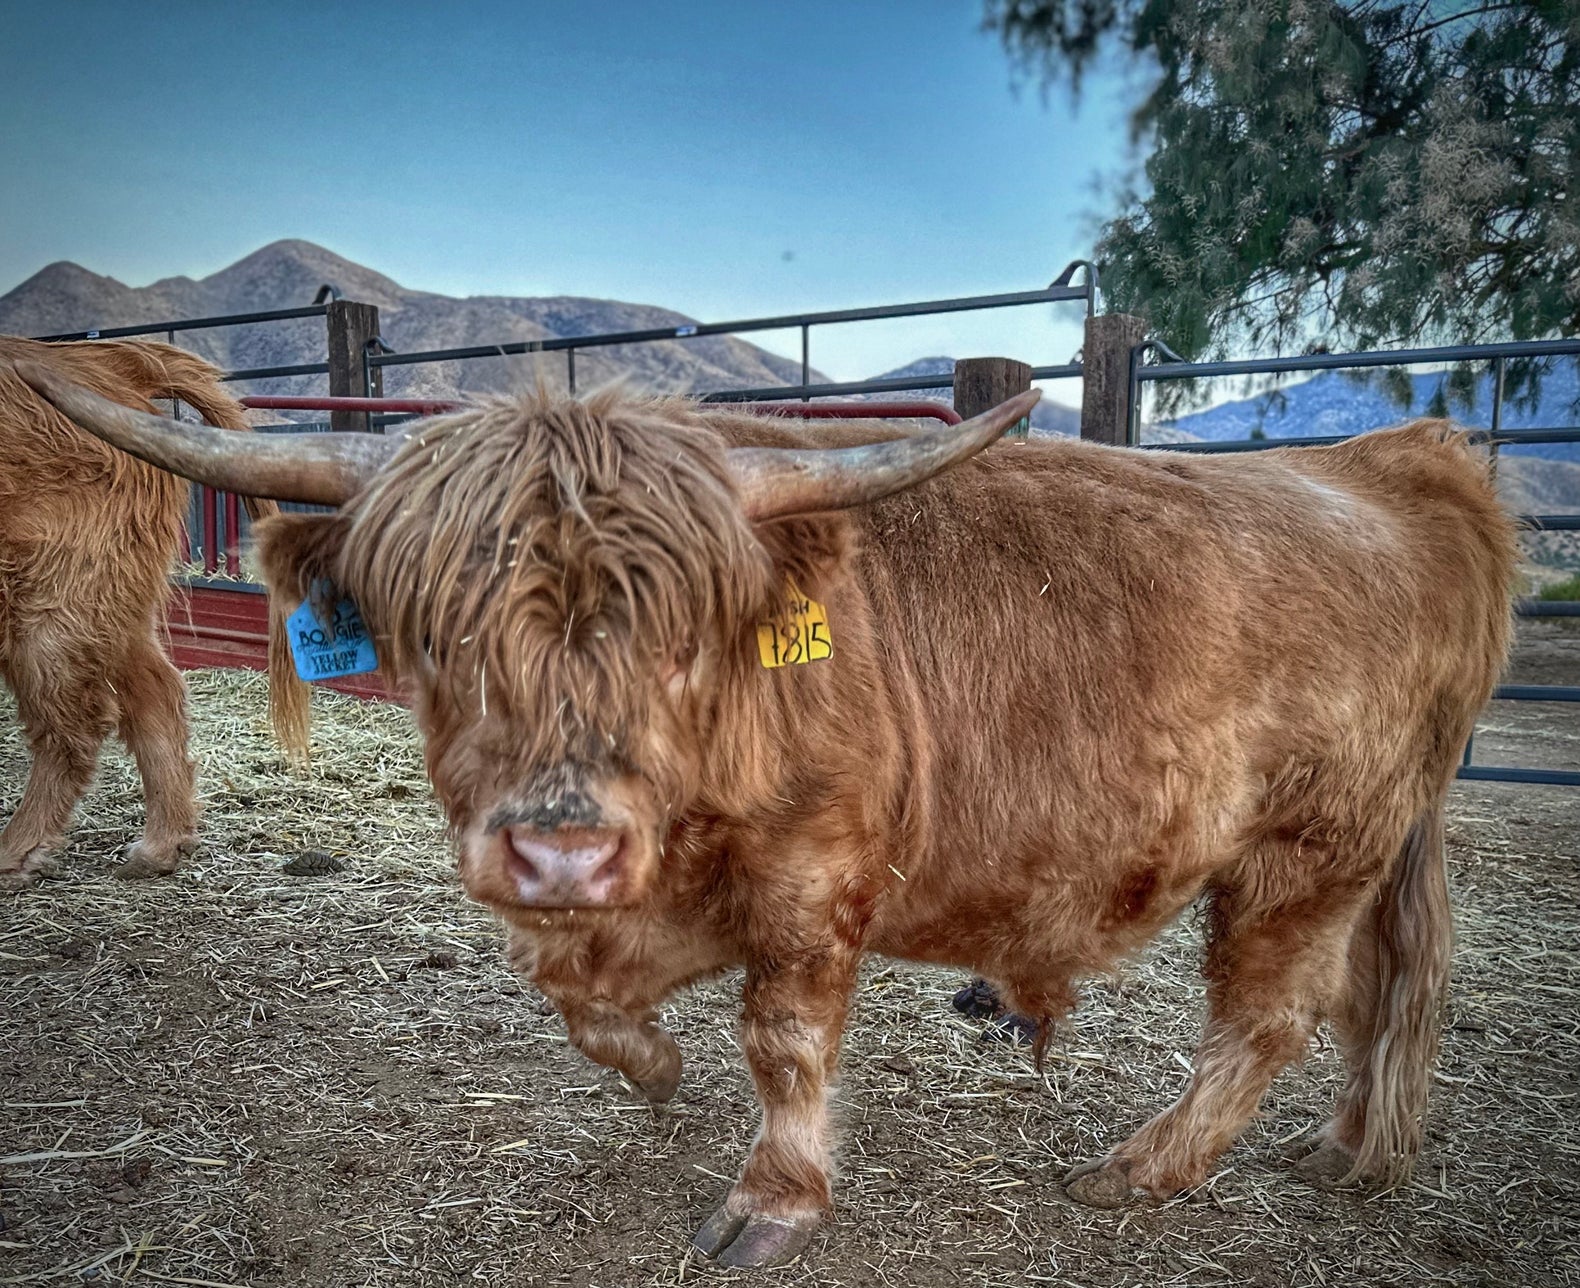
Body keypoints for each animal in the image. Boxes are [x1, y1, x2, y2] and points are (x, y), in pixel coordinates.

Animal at [0, 338, 309, 886]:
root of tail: (104, 364)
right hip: (110, 605)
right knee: (154, 691)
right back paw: (159, 848)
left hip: (52, 605)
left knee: (73, 726)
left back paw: (13, 853)